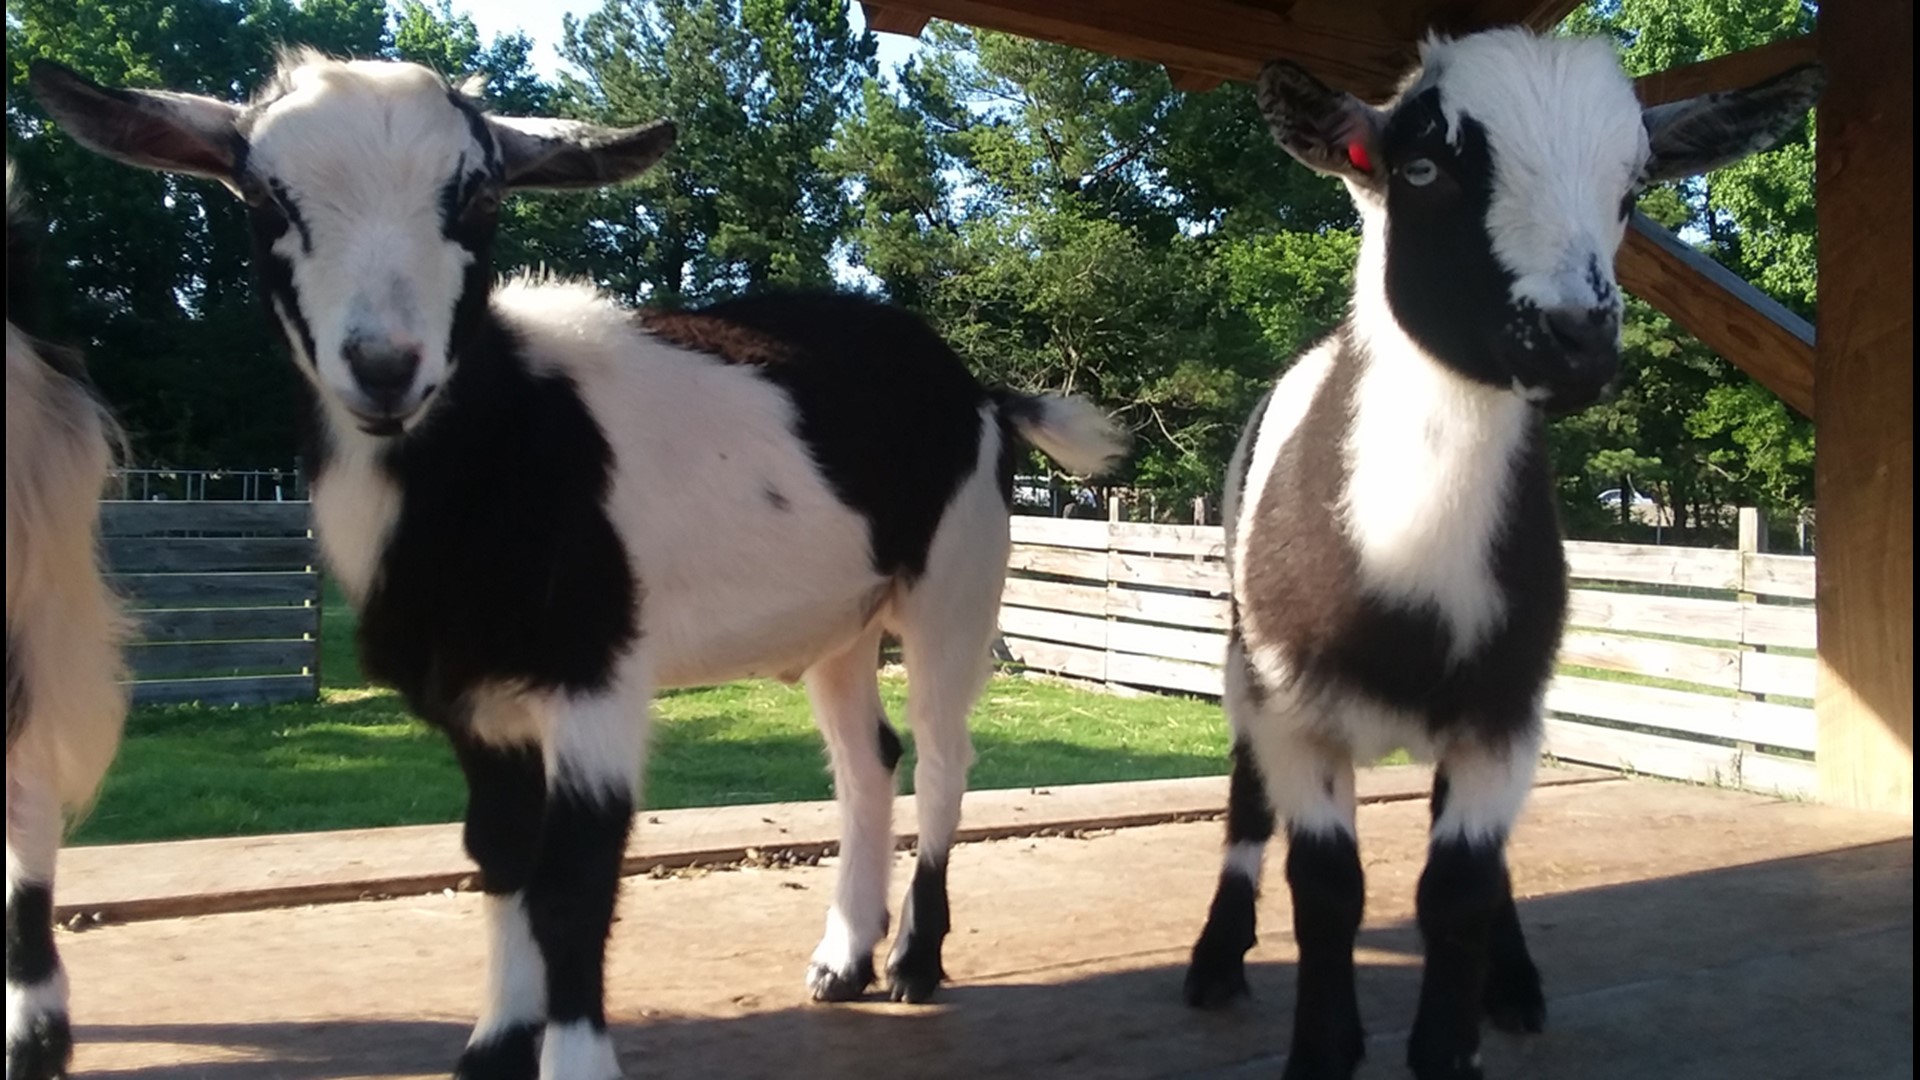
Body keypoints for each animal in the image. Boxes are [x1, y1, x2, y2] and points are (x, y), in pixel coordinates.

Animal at [31, 51, 1125, 1079]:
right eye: (264, 196)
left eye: (476, 196)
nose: (385, 367)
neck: (499, 449)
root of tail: (978, 388)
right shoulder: (475, 694)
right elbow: (500, 856)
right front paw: (495, 1047)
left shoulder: (594, 673)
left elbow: (576, 873)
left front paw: (574, 1057)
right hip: (840, 623)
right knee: (869, 762)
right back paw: (842, 961)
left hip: (958, 577)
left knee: (942, 755)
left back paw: (912, 963)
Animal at [1179, 30, 1822, 1080]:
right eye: (1423, 168)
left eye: (1633, 187)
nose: (1575, 339)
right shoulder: (1296, 707)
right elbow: (1327, 887)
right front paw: (1322, 1048)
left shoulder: (1504, 704)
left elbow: (1460, 890)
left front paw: (1456, 1036)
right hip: (1243, 658)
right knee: (1243, 800)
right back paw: (1215, 961)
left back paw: (1512, 983)